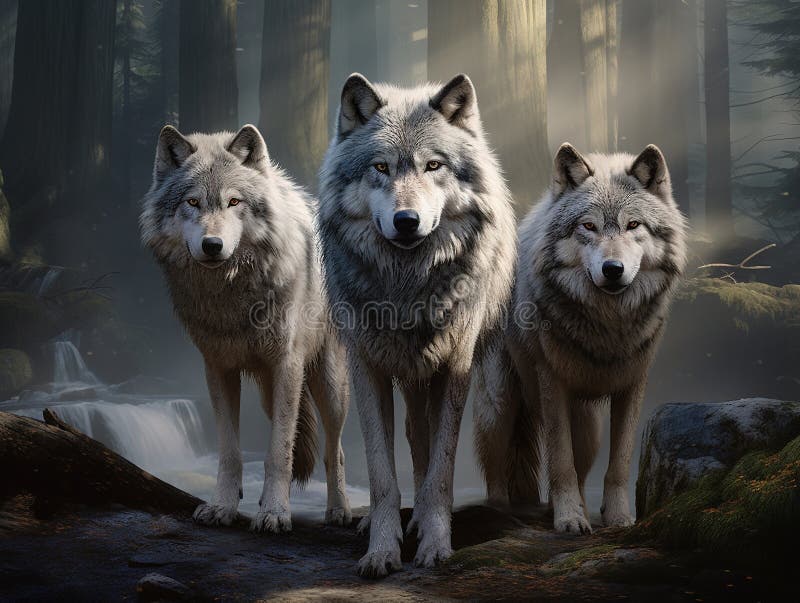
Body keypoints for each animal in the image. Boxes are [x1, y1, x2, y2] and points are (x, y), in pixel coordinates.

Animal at [140, 124, 351, 532]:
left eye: (234, 202)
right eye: (193, 202)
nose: (212, 245)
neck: (234, 297)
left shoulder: (287, 366)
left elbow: (278, 452)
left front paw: (275, 513)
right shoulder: (218, 369)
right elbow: (230, 452)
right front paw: (222, 506)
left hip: (328, 387)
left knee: (336, 451)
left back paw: (339, 511)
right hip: (270, 394)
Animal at [318, 74, 516, 577]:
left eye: (433, 165)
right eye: (381, 168)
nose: (406, 221)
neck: (408, 291)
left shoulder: (455, 366)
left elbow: (441, 470)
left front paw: (435, 541)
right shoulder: (367, 367)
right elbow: (382, 473)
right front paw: (382, 549)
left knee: (425, 444)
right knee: (414, 436)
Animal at [474, 143, 688, 533]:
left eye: (633, 225)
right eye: (588, 226)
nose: (613, 269)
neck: (608, 325)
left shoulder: (633, 385)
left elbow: (618, 464)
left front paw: (617, 518)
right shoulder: (551, 383)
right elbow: (560, 462)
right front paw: (569, 519)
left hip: (589, 428)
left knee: (582, 463)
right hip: (499, 409)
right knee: (496, 473)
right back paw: (500, 514)